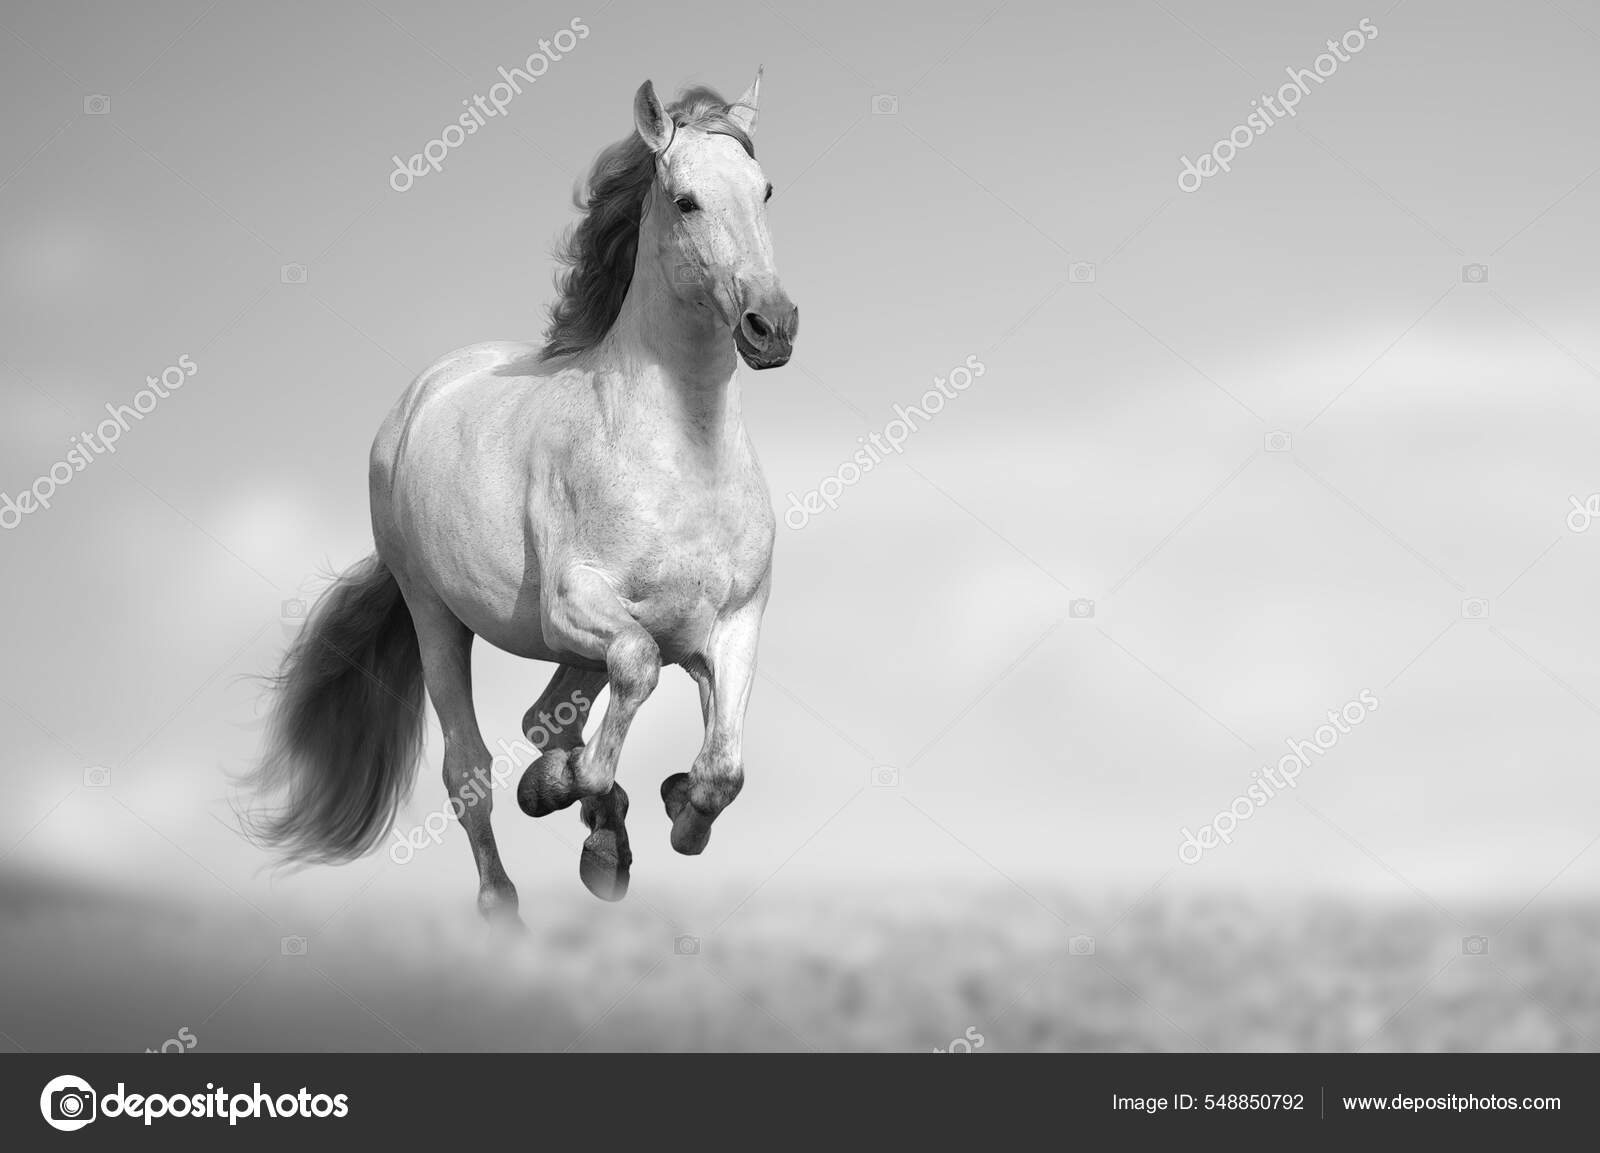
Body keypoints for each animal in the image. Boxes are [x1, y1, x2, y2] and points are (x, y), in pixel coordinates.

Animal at [246, 72, 796, 920]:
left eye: (763, 190)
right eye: (685, 200)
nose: (773, 325)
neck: (682, 456)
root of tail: (424, 393)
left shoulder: (733, 622)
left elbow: (722, 770)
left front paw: (676, 809)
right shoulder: (576, 604)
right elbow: (633, 676)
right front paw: (566, 793)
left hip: (565, 643)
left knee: (549, 716)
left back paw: (602, 840)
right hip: (437, 615)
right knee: (469, 767)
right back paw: (507, 897)